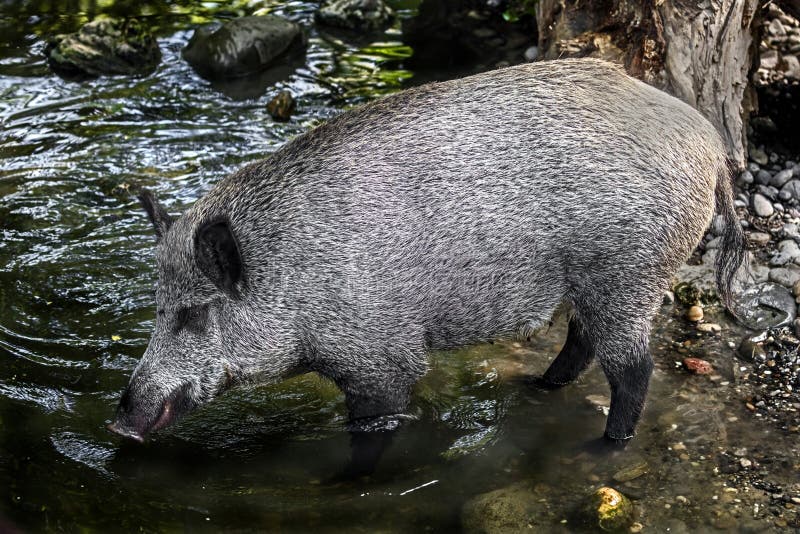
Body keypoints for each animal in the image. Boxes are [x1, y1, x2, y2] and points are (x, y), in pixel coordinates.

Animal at [108, 58, 745, 447]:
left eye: (194, 313)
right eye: (157, 309)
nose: (118, 422)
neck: (293, 273)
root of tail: (712, 149)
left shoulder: (381, 357)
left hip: (630, 272)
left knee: (634, 370)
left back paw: (606, 447)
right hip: (596, 280)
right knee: (581, 342)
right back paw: (535, 390)